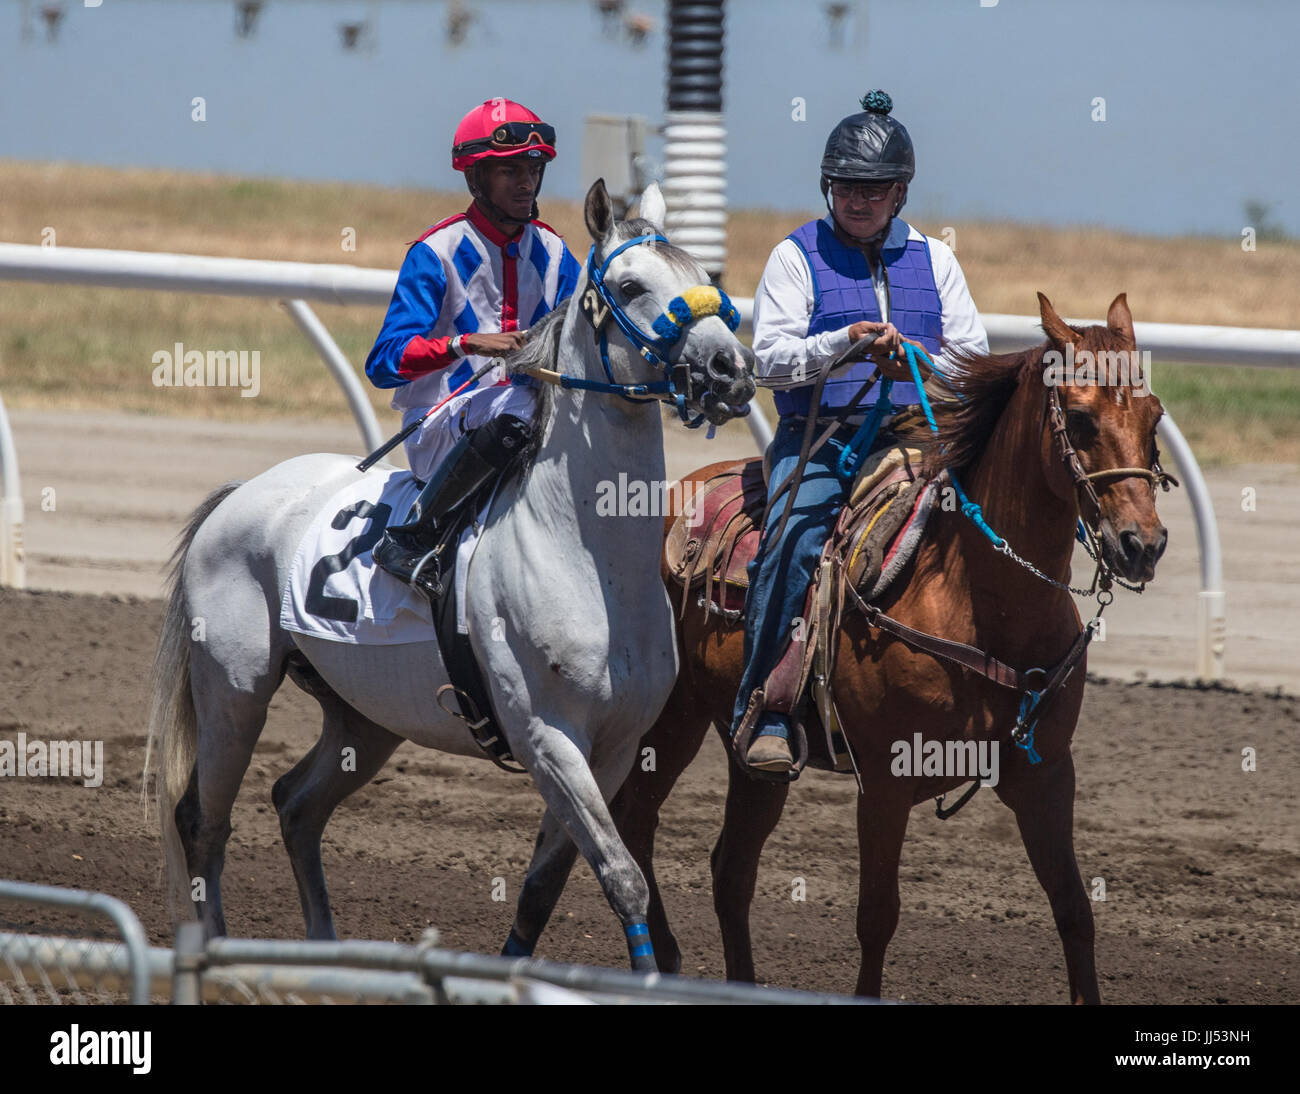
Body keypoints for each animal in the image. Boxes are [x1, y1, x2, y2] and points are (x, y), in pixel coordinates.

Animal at [144, 179, 756, 970]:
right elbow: (623, 876)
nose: (730, 370)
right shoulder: (547, 736)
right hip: (233, 688)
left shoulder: (615, 748)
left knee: (296, 804)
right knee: (202, 819)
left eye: (705, 279)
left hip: (366, 715)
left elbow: (544, 886)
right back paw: (216, 953)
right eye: (629, 286)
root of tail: (240, 491)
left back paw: (325, 950)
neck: (590, 559)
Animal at [603, 292, 1172, 1000]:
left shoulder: (1045, 776)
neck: (978, 600)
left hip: (751, 756)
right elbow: (877, 915)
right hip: (672, 718)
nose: (1141, 544)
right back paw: (662, 958)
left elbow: (1073, 910)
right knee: (634, 821)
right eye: (1081, 418)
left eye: (1154, 416)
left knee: (730, 869)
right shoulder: (886, 782)